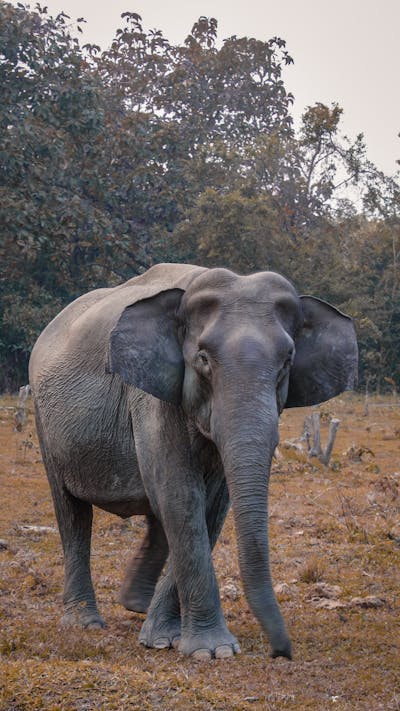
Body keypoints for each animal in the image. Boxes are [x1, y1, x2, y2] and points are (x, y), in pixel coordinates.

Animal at [29, 263, 358, 660]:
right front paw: (212, 651)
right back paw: (86, 622)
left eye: (287, 362)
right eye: (203, 359)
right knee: (72, 511)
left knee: (154, 515)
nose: (282, 652)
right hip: (43, 419)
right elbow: (181, 494)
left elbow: (211, 504)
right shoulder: (150, 397)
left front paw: (166, 639)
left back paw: (136, 604)